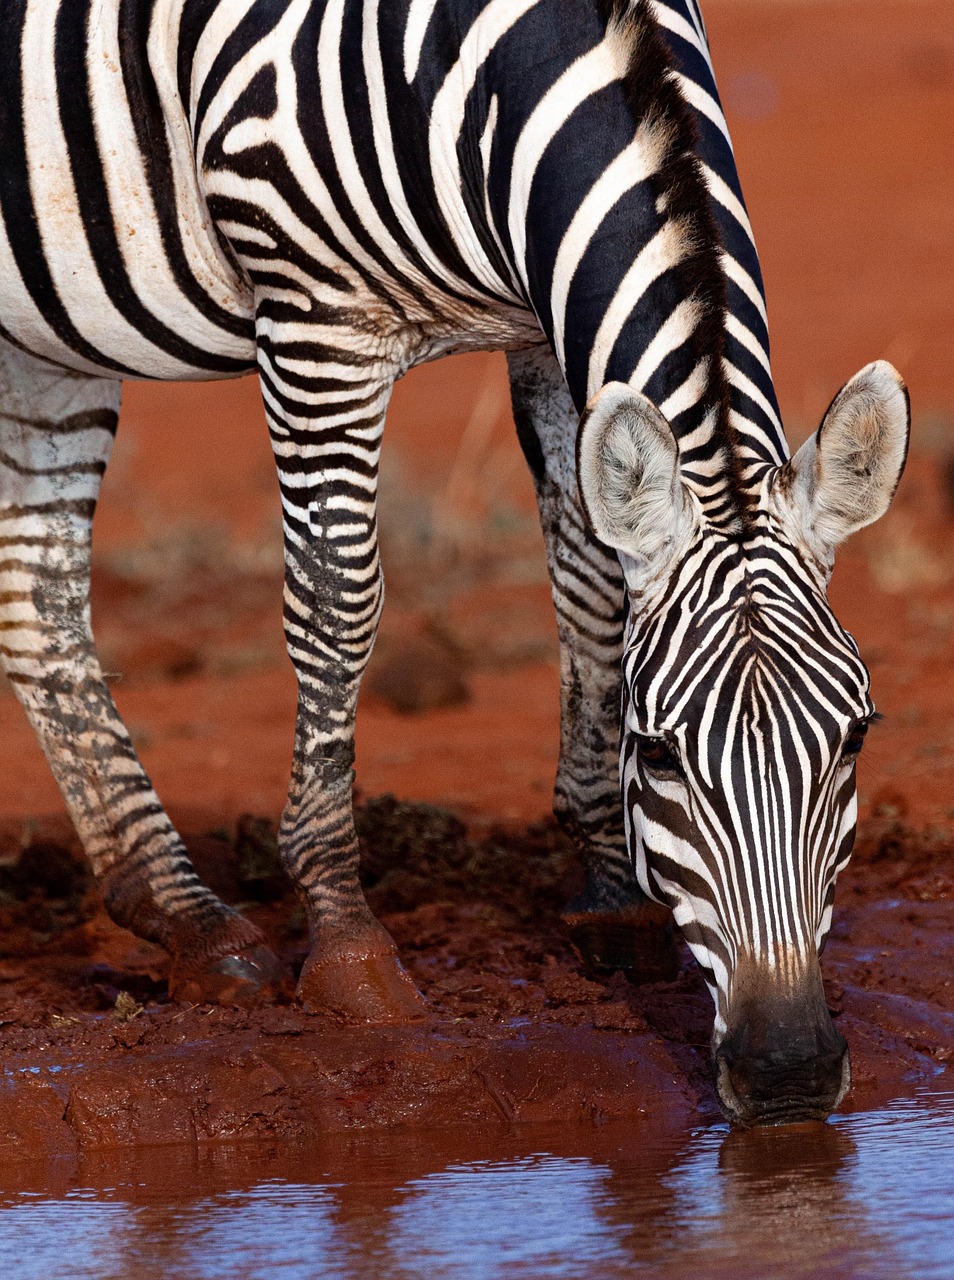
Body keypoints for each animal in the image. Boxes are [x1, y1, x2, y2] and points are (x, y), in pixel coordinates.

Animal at [0, 0, 909, 1125]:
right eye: (660, 753)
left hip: (49, 335)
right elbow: (337, 601)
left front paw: (611, 894)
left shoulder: (546, 321)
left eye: (856, 738)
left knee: (37, 596)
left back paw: (184, 917)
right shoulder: (320, 328)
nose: (789, 1076)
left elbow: (589, 583)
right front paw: (346, 941)